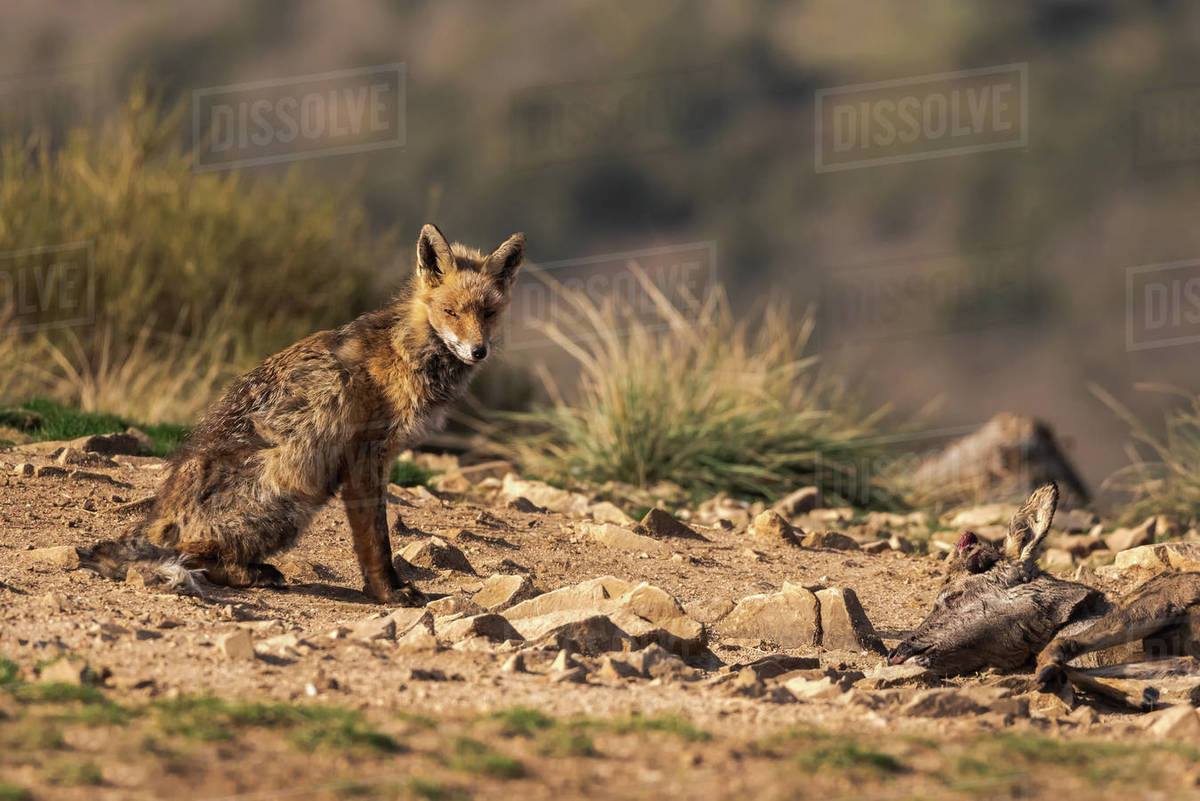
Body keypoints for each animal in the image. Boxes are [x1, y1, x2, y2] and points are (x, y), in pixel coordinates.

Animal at [77, 224, 524, 605]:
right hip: (293, 496)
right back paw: (250, 572)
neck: (404, 351)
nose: (478, 351)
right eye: (451, 312)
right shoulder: (366, 455)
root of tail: (159, 517)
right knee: (187, 555)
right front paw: (387, 593)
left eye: (488, 313)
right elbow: (376, 540)